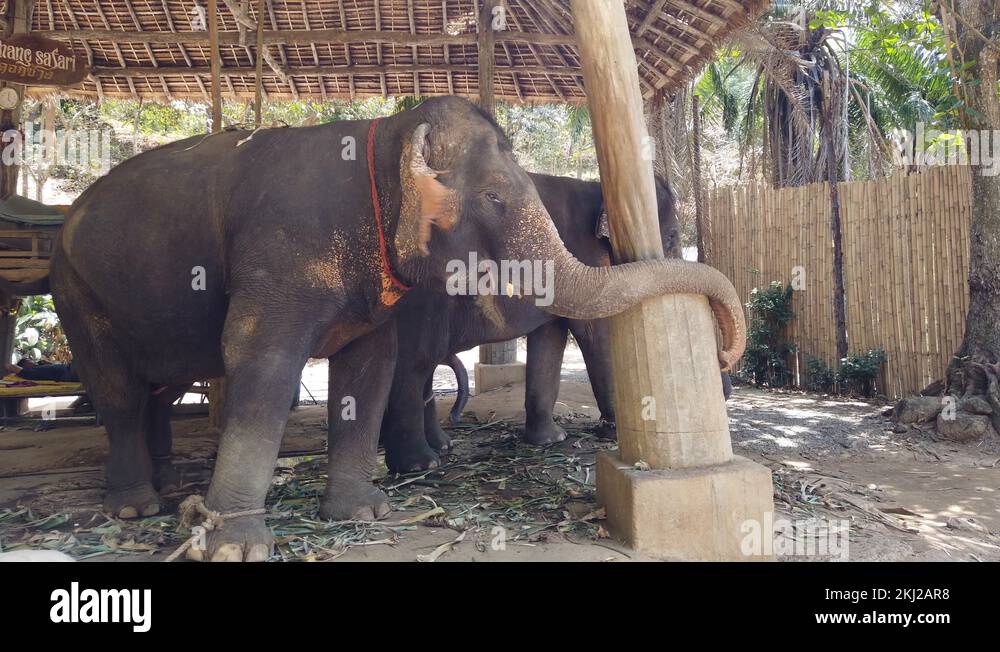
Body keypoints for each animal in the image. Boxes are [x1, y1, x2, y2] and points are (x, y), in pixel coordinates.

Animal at [370, 172, 682, 478]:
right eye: (671, 237)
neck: (596, 187)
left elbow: (550, 337)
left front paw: (550, 439)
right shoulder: (587, 257)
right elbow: (595, 332)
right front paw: (613, 434)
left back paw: (440, 446)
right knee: (415, 363)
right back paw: (419, 465)